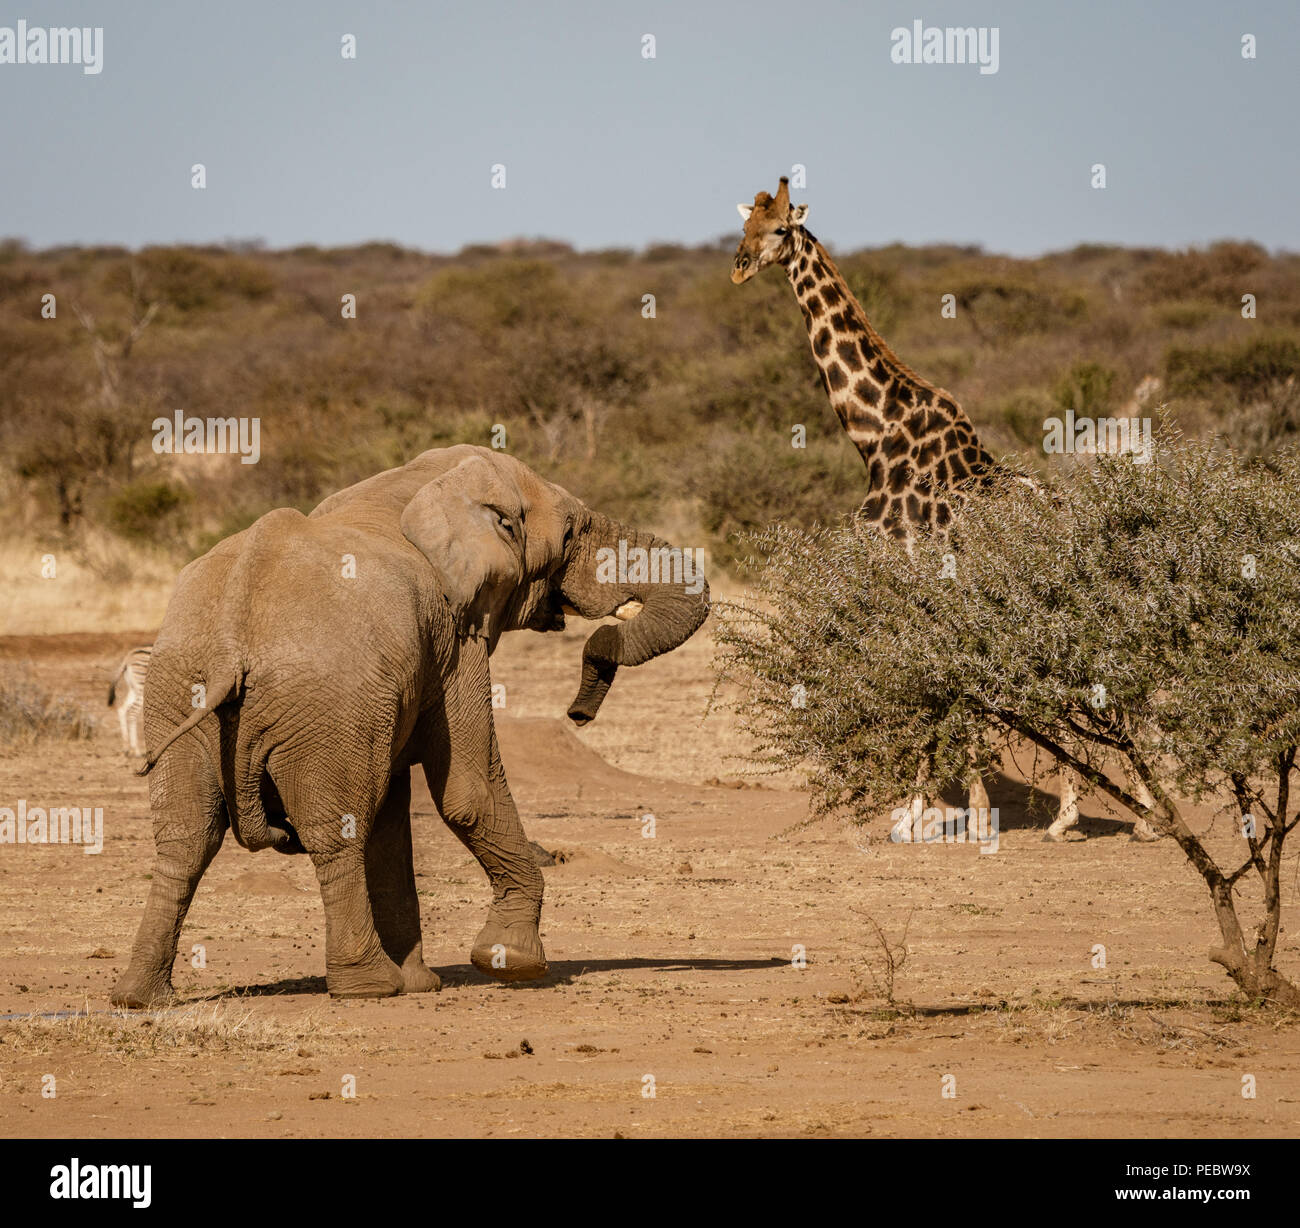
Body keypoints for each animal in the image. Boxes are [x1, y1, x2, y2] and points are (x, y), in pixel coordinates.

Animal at [110, 445, 709, 1006]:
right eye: (571, 532)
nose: (577, 714)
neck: (423, 480)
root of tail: (233, 633)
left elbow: (393, 817)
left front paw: (424, 984)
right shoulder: (455, 638)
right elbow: (467, 793)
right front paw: (511, 963)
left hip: (182, 686)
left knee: (186, 838)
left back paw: (140, 997)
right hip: (320, 699)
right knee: (333, 831)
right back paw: (369, 987)